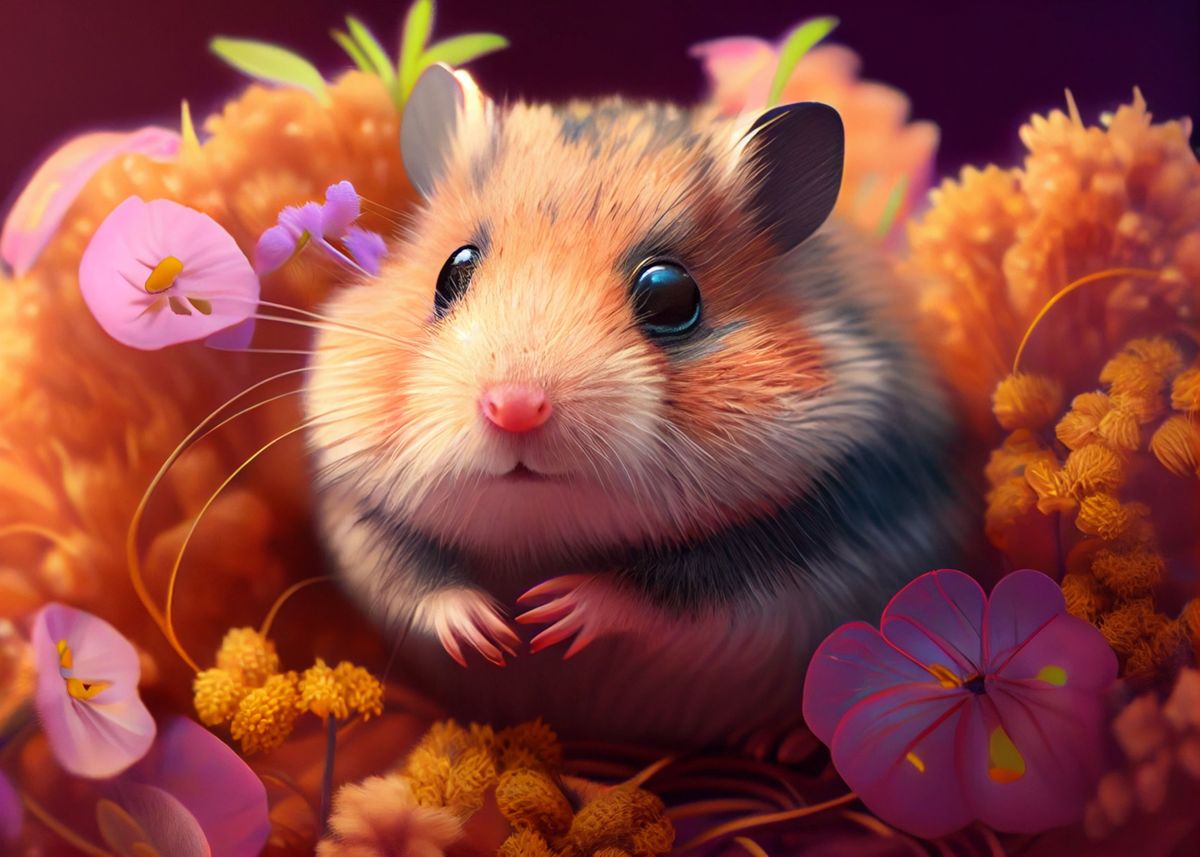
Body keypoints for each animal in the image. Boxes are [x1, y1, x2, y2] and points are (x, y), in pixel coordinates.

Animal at [305, 64, 961, 747]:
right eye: (450, 274)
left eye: (671, 295)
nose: (513, 408)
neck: (541, 539)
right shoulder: (364, 523)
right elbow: (421, 584)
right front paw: (496, 631)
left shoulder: (796, 547)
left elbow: (663, 593)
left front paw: (550, 611)